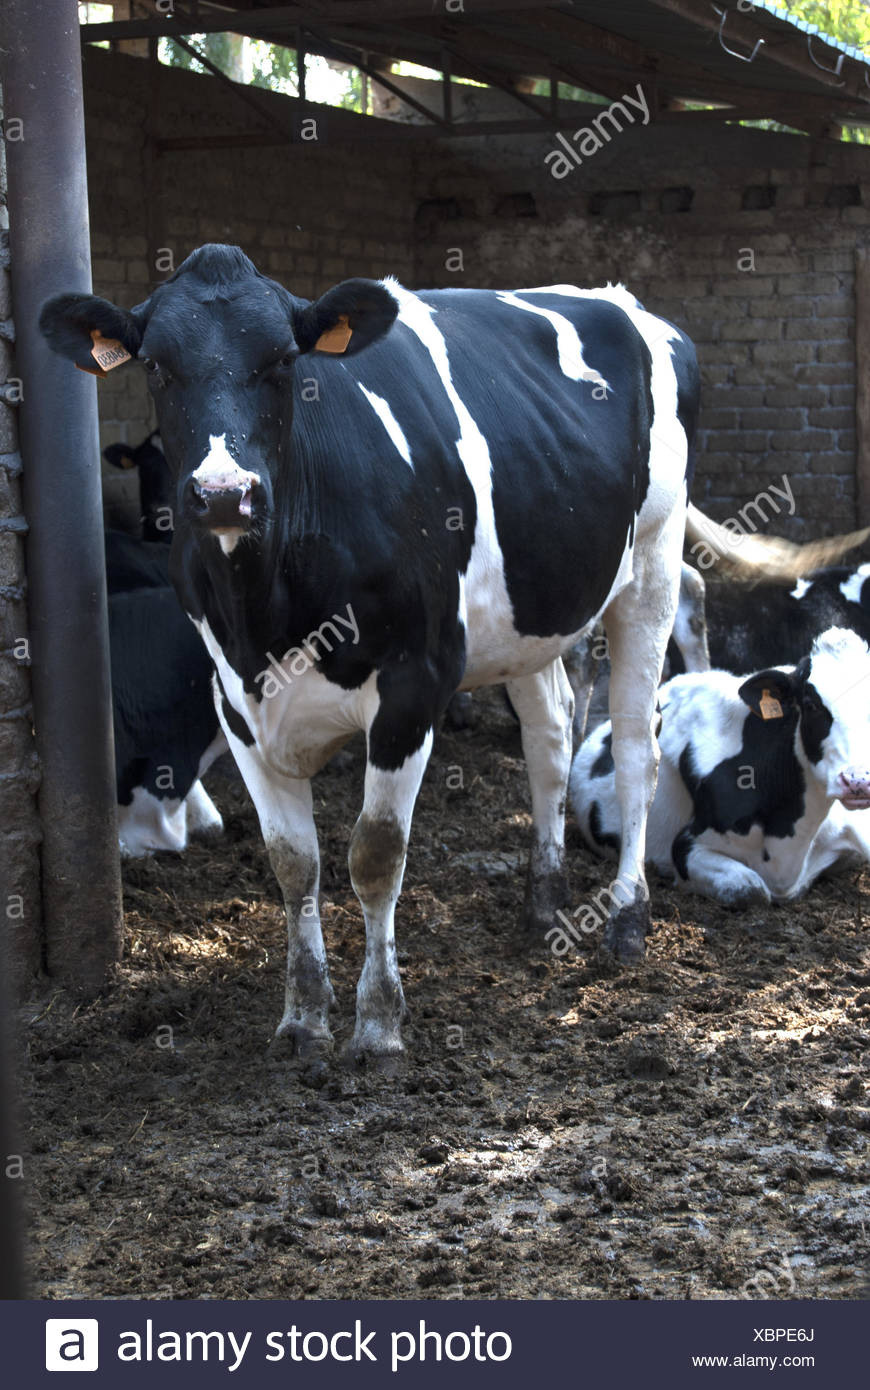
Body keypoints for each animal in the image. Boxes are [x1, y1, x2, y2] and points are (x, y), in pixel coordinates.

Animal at [41, 244, 699, 1061]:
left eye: (284, 360)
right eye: (157, 364)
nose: (224, 493)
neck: (268, 615)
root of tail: (614, 297)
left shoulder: (415, 685)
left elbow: (375, 856)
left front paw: (379, 1022)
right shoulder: (236, 703)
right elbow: (294, 864)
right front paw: (302, 1017)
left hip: (654, 563)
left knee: (638, 746)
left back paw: (627, 922)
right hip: (530, 613)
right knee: (549, 737)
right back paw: (544, 905)